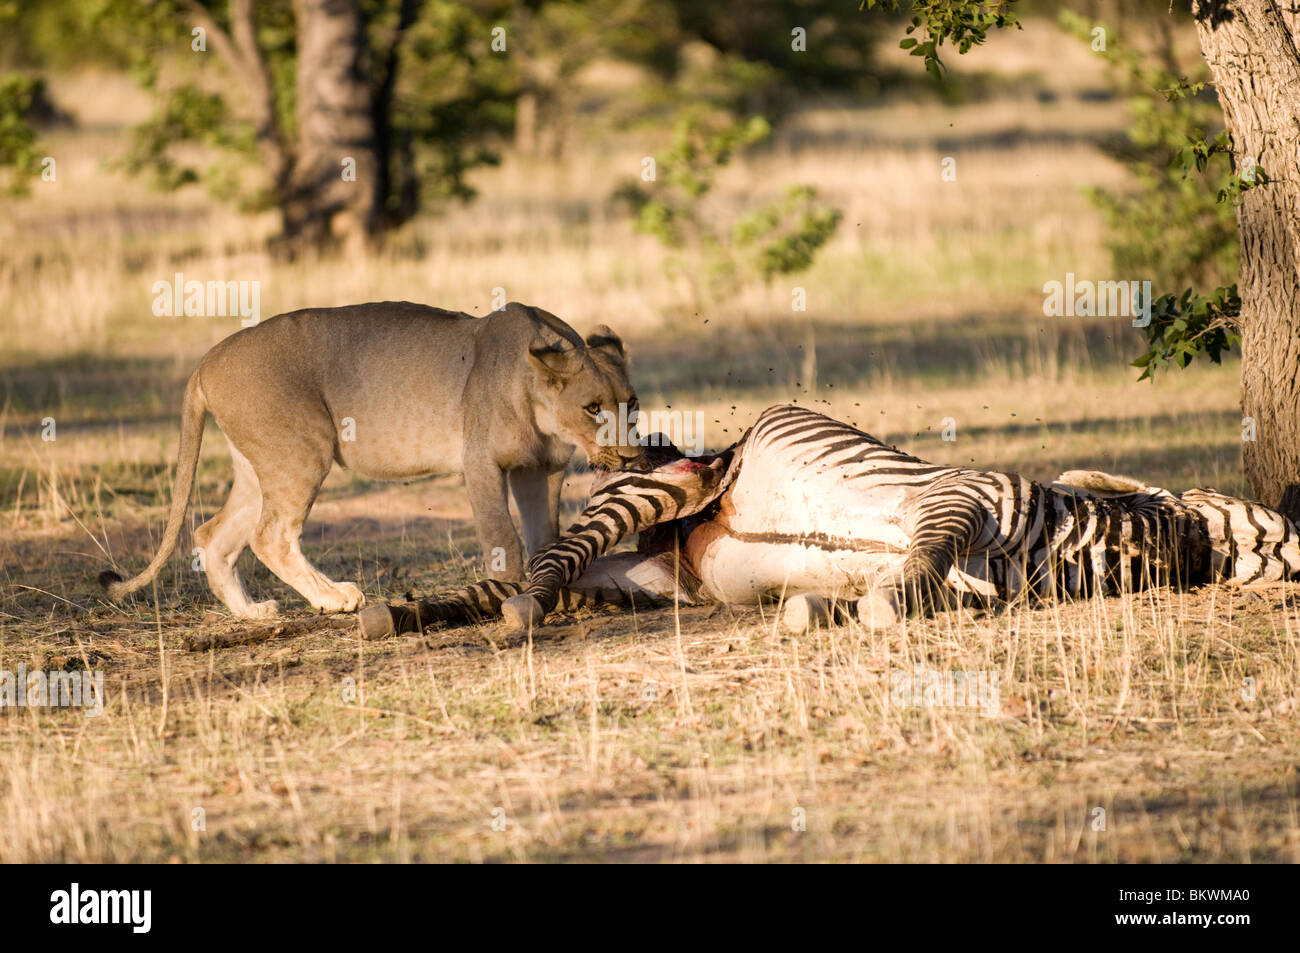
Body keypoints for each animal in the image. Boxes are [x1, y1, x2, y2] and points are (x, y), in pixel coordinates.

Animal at [98, 301, 643, 619]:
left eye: (631, 403)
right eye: (593, 408)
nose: (635, 457)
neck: (541, 408)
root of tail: (206, 361)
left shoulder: (540, 470)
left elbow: (544, 536)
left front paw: (556, 584)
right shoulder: (481, 463)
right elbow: (504, 539)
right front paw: (510, 593)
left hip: (258, 466)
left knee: (214, 534)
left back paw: (254, 613)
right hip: (303, 450)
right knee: (270, 535)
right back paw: (335, 598)